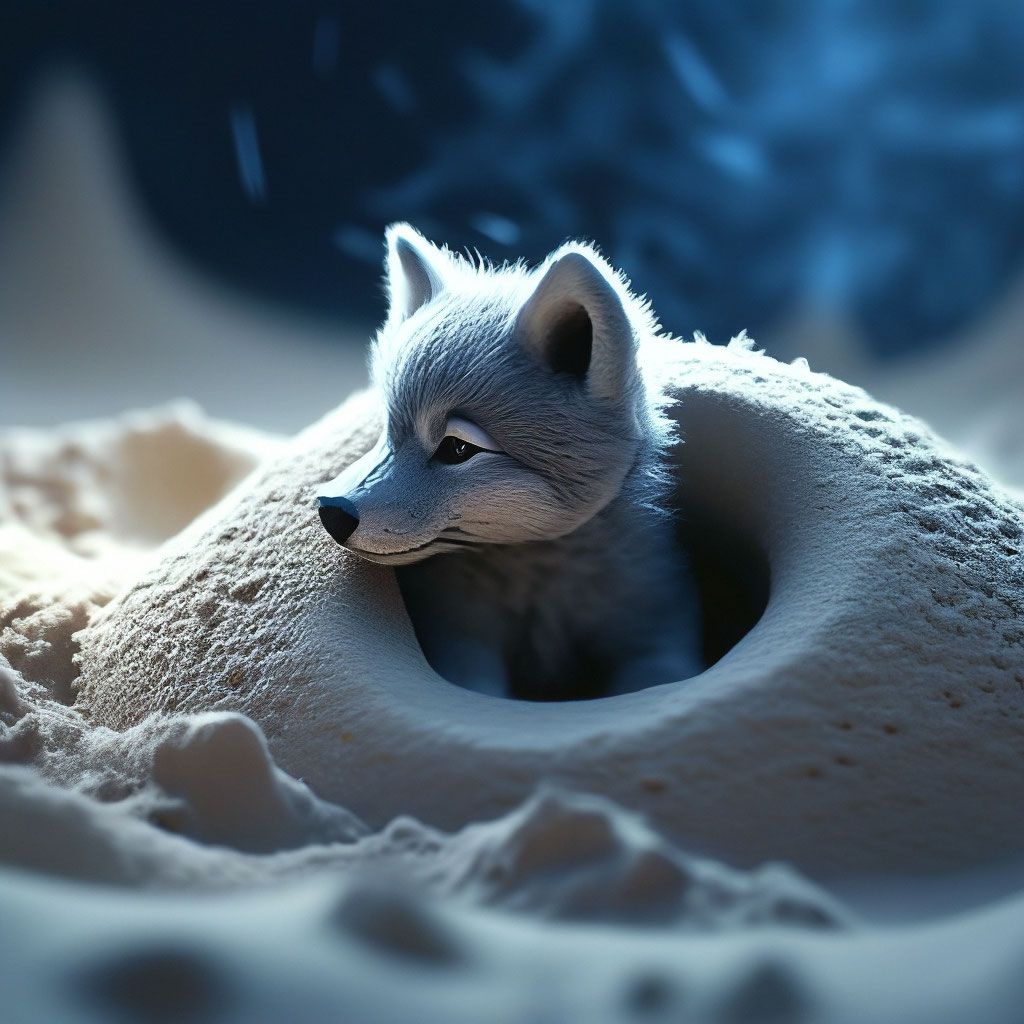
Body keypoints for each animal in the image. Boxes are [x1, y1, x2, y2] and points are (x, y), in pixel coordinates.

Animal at [317, 224, 703, 699]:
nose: (332, 511)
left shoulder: (657, 631)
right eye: (389, 430)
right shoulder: (461, 639)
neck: (540, 591)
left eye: (457, 449)